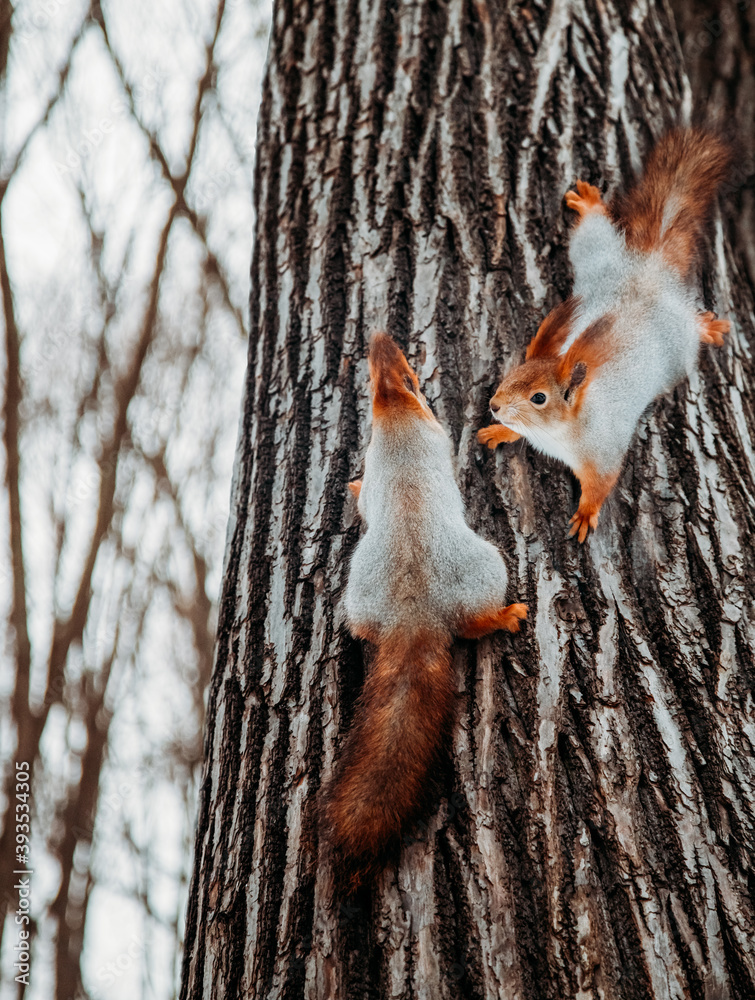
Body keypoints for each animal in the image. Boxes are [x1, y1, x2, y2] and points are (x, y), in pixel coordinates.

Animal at [321, 333, 526, 887]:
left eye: (379, 369)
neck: (394, 415)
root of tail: (414, 616)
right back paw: (506, 616)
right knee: (475, 623)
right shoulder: (435, 437)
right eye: (413, 377)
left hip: (359, 595)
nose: (380, 339)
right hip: (488, 568)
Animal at [478, 127, 732, 542]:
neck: (558, 433)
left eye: (539, 398)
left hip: (679, 342)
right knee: (595, 228)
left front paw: (586, 514)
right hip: (597, 254)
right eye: (512, 374)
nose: (495, 406)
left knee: (691, 326)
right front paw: (501, 432)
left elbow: (601, 485)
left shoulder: (604, 451)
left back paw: (708, 327)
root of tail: (647, 273)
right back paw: (589, 203)